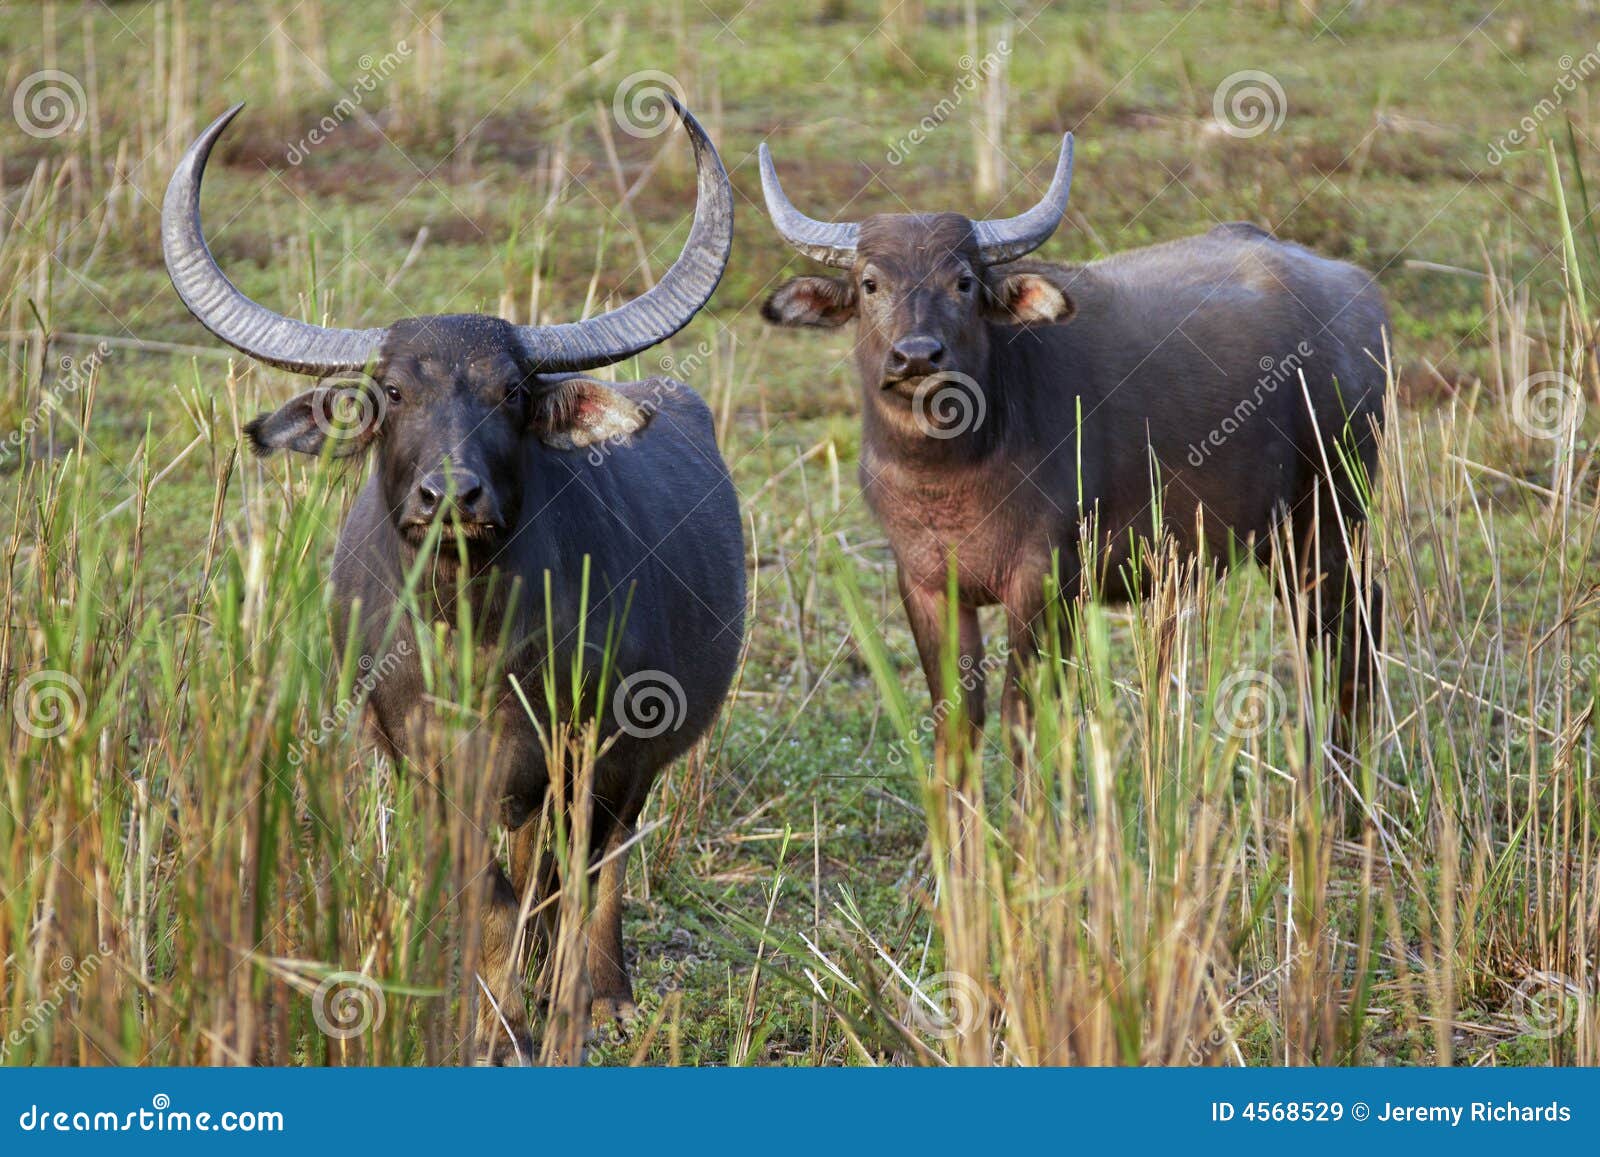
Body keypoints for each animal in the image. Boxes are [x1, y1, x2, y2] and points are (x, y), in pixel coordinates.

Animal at [163, 101, 745, 1062]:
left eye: (511, 391)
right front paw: (494, 1021)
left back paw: (604, 993)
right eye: (394, 392)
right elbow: (493, 894)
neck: (472, 643)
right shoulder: (421, 762)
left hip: (639, 761)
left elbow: (556, 879)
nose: (452, 496)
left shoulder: (587, 751)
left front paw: (553, 1009)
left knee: (604, 860)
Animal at [760, 133, 1387, 751]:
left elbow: (1025, 717)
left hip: (1332, 514)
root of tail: (1357, 293)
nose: (916, 356)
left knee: (1353, 631)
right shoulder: (924, 583)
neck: (949, 474)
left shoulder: (1044, 580)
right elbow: (957, 724)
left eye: (962, 281)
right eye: (870, 283)